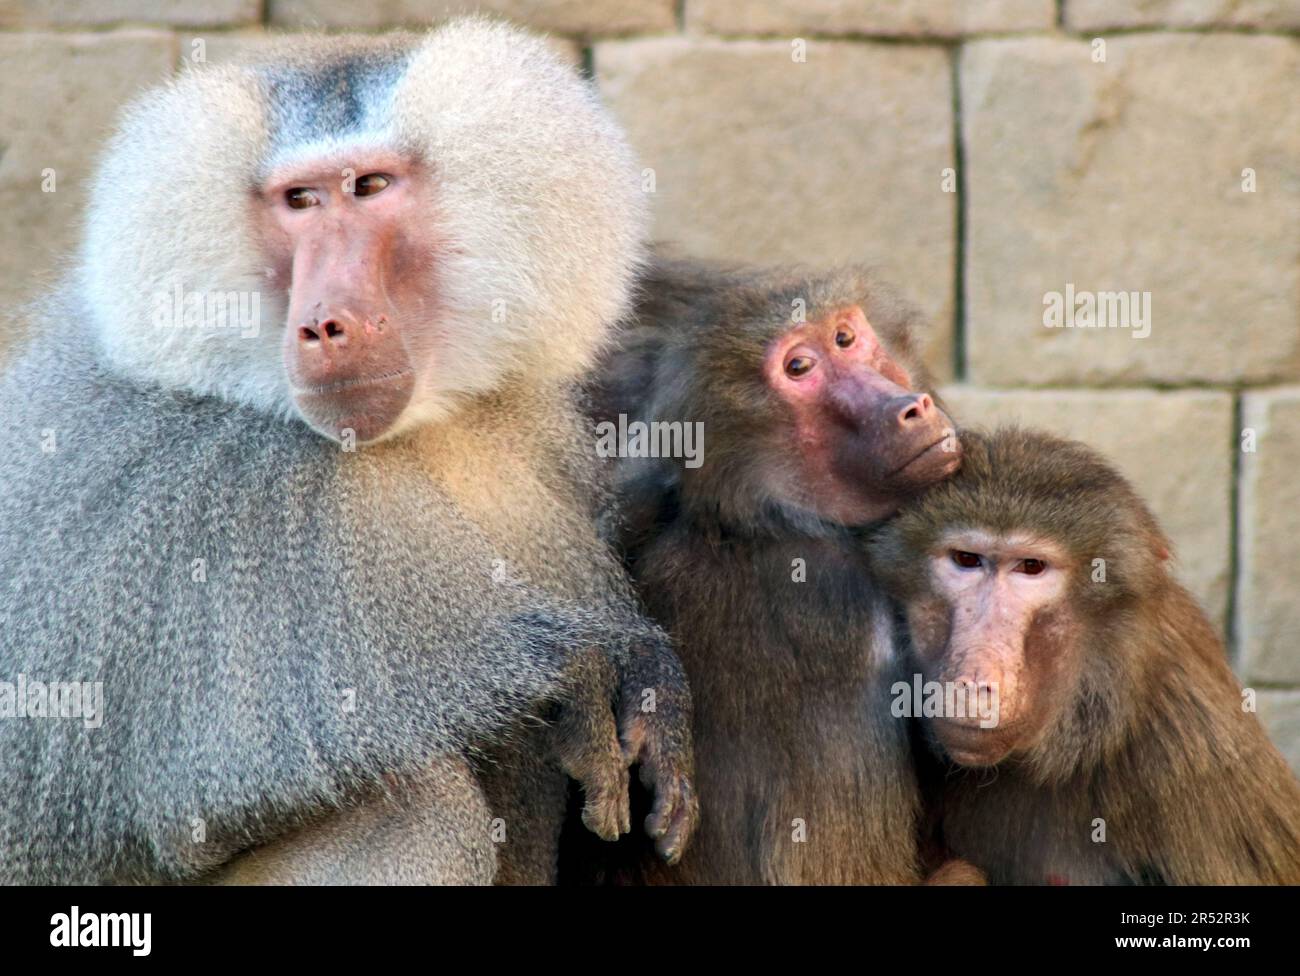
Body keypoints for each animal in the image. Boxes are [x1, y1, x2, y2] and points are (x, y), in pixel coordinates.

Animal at [0, 19, 696, 885]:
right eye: (299, 201)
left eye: (369, 187)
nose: (325, 325)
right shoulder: (225, 505)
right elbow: (203, 813)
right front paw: (574, 665)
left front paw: (647, 676)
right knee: (424, 808)